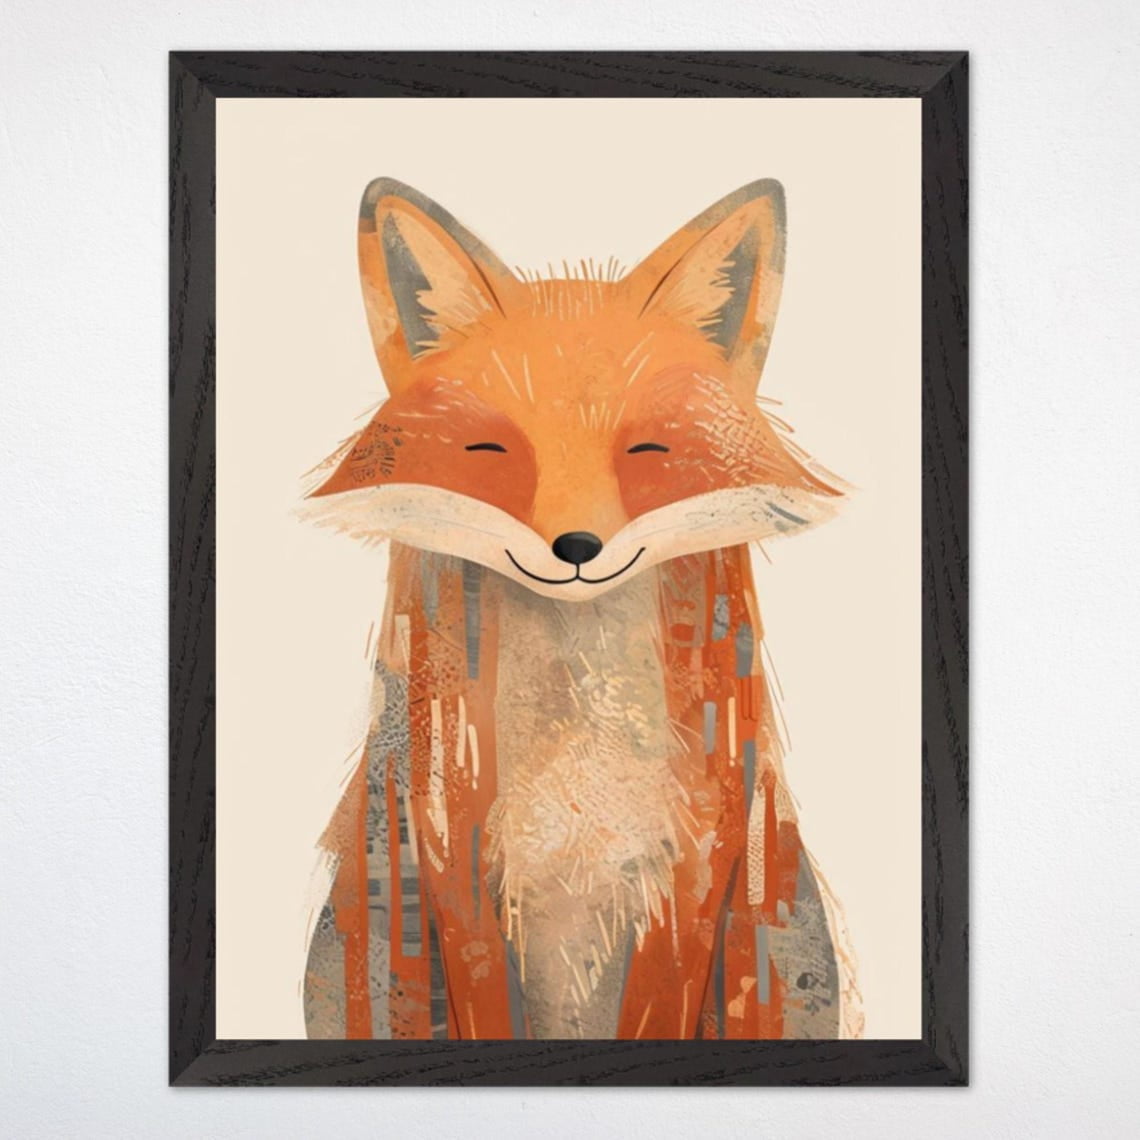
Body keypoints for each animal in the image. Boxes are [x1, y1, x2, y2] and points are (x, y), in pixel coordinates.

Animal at [300, 176, 862, 1041]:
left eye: (646, 451)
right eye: (493, 451)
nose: (576, 547)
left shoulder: (691, 863)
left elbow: (658, 1013)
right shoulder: (454, 859)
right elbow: (486, 1013)